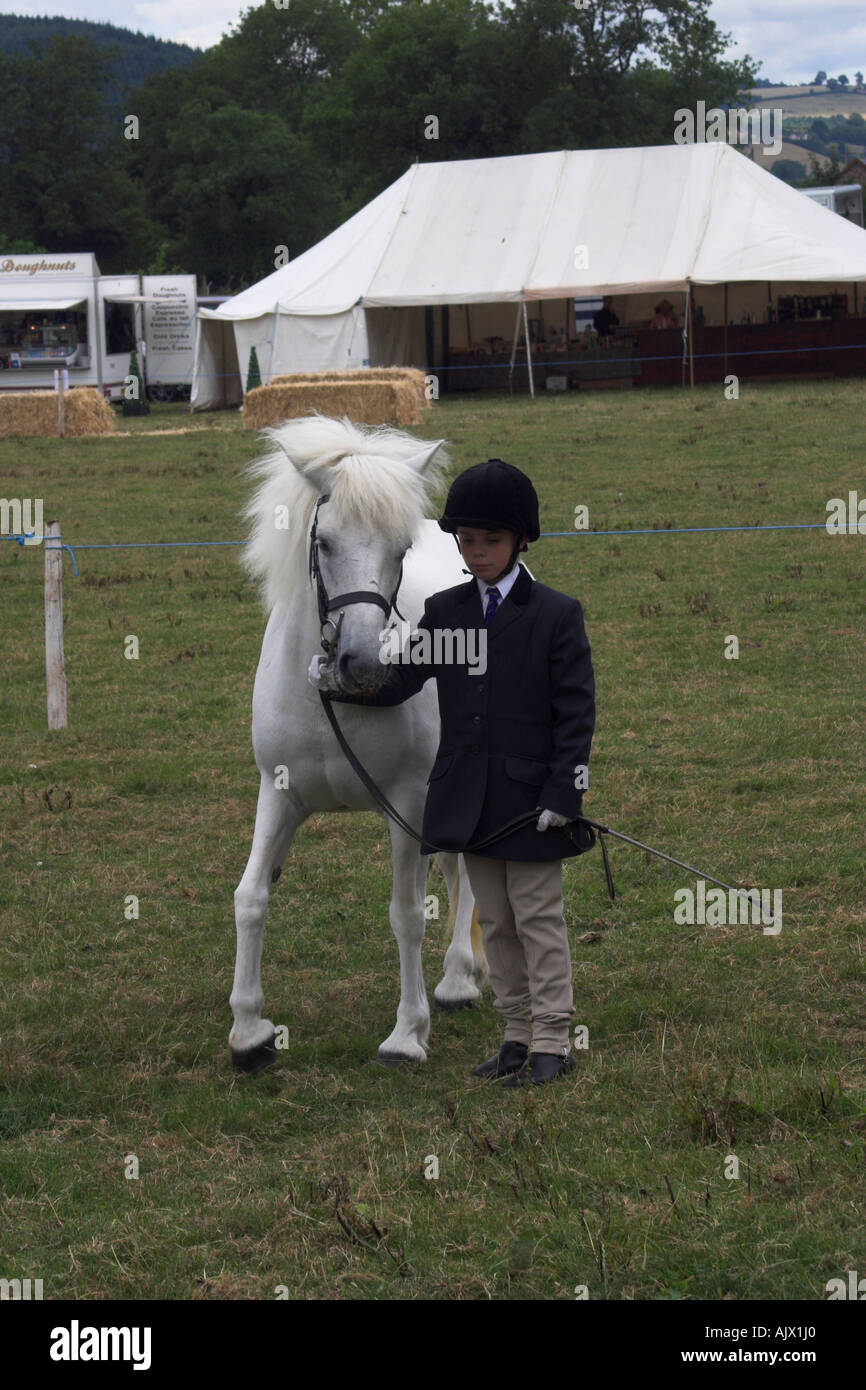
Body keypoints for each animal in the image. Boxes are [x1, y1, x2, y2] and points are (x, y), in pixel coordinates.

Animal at [229, 413, 486, 1074]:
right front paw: (248, 1032)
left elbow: (406, 914)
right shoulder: (279, 794)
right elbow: (251, 896)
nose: (363, 664)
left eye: (401, 550)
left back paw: (456, 979)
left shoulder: (406, 803)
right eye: (323, 542)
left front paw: (407, 1034)